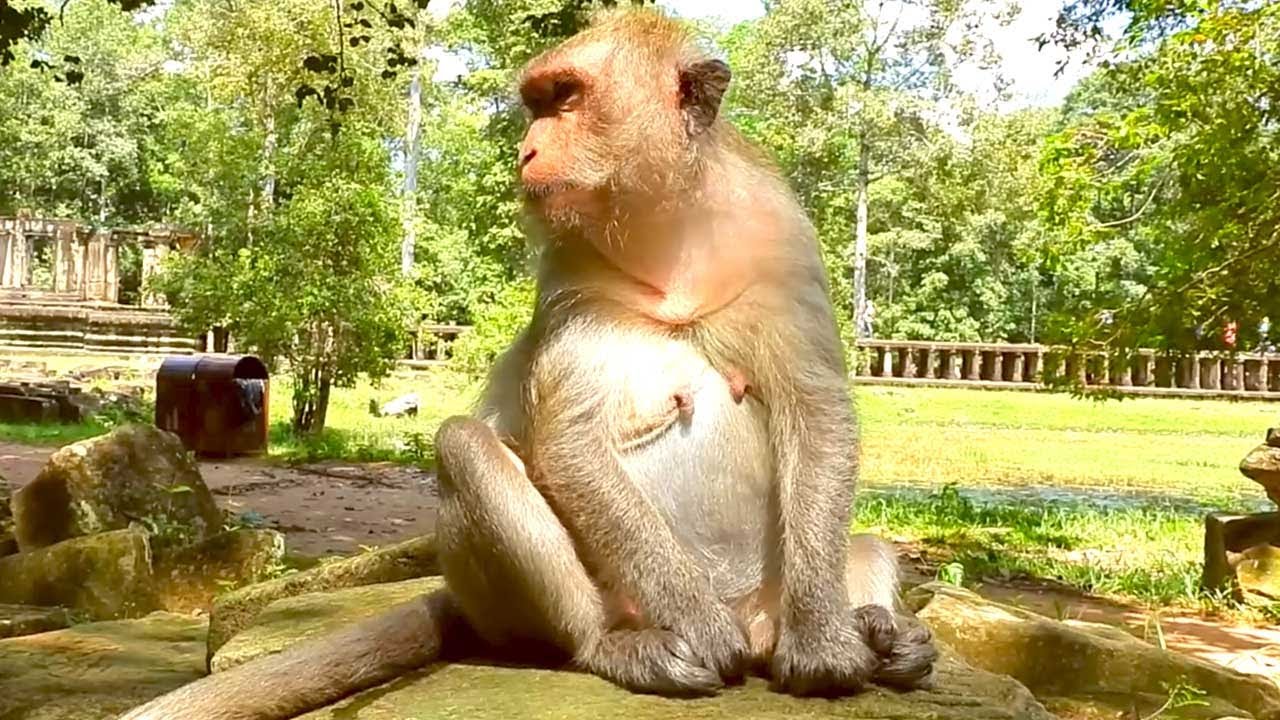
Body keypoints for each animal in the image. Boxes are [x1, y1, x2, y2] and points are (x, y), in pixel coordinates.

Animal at [120, 9, 935, 720]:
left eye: (566, 97)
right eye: (537, 102)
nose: (527, 150)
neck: (665, 240)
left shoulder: (781, 238)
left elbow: (817, 411)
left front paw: (825, 640)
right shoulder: (572, 276)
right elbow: (570, 445)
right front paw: (703, 629)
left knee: (864, 540)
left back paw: (879, 634)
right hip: (539, 594)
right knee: (465, 447)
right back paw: (617, 644)